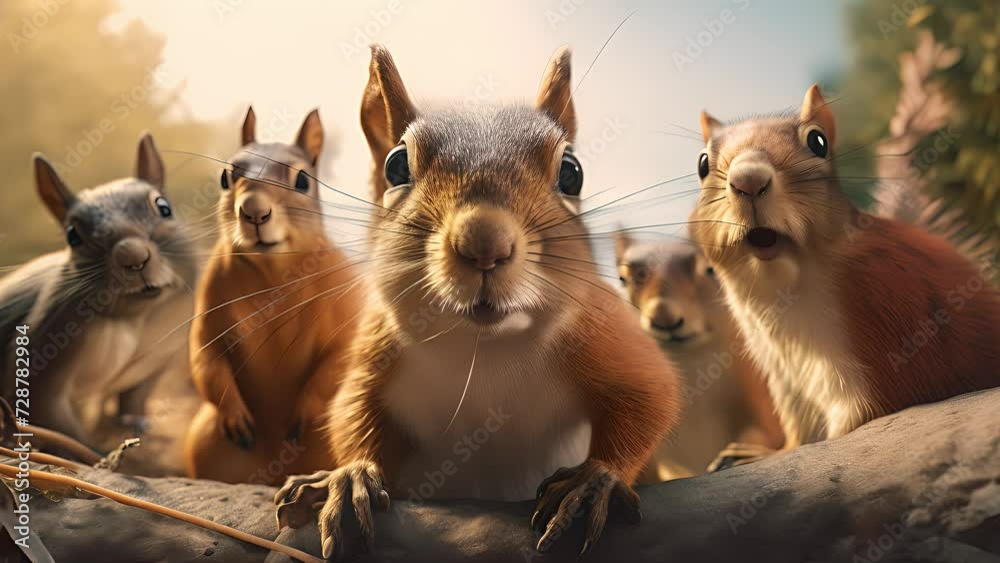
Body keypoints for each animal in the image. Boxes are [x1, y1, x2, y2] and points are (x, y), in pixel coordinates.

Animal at [0, 133, 197, 446]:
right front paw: (91, 449)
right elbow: (53, 418)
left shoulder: (156, 359)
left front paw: (138, 425)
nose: (132, 256)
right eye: (72, 236)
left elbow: (135, 398)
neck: (134, 317)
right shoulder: (41, 356)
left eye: (164, 207)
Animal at [184, 108, 364, 485]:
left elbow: (338, 359)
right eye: (225, 176)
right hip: (206, 444)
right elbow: (204, 356)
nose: (254, 211)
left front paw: (304, 414)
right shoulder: (209, 303)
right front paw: (236, 417)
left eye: (303, 181)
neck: (273, 274)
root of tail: (274, 472)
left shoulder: (346, 307)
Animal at [272, 45, 679, 559]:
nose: (484, 243)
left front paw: (594, 480)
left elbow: (650, 394)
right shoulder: (375, 352)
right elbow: (352, 411)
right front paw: (350, 477)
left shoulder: (602, 333)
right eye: (396, 166)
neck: (482, 350)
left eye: (572, 173)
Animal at [689, 84, 1000, 469]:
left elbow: (858, 418)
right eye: (702, 164)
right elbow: (800, 426)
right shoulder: (784, 375)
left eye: (818, 141)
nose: (748, 180)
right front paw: (768, 451)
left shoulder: (884, 333)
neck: (782, 290)